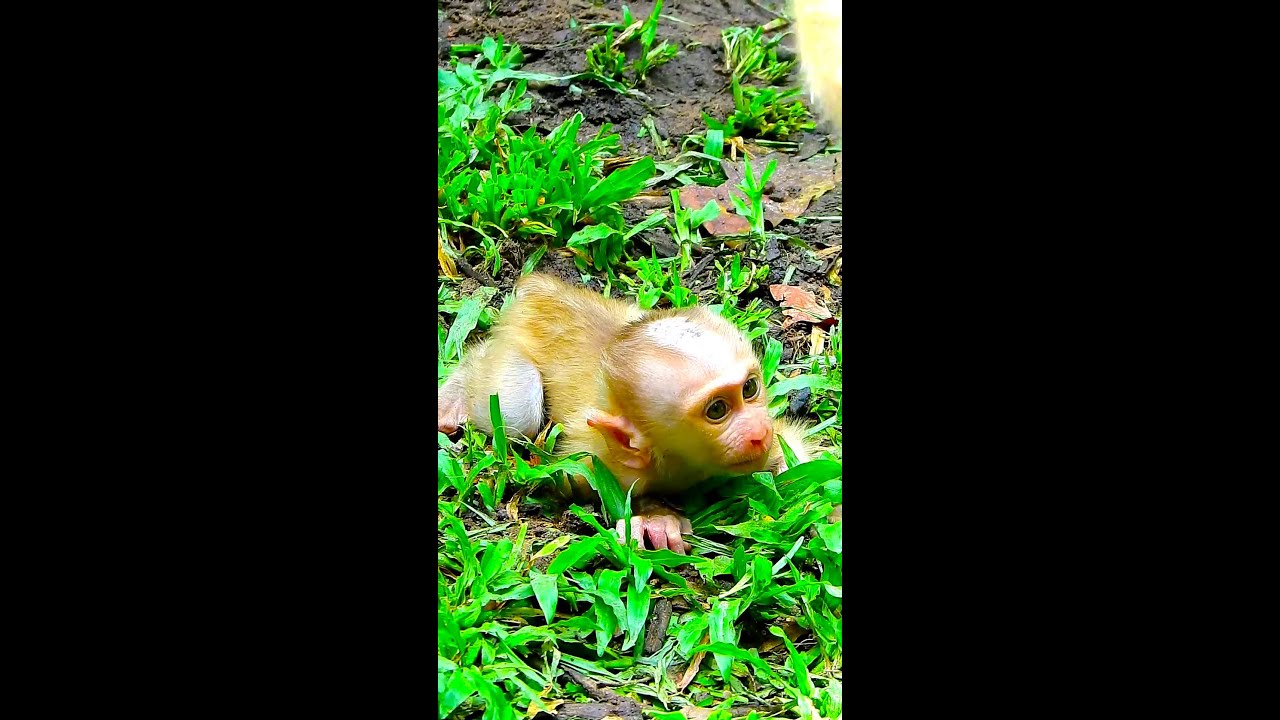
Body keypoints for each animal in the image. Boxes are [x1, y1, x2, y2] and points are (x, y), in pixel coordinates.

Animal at [439, 273, 837, 554]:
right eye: (717, 410)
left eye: (750, 389)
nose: (757, 432)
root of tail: (543, 291)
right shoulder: (595, 460)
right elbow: (574, 489)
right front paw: (655, 519)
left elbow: (791, 455)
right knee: (514, 411)